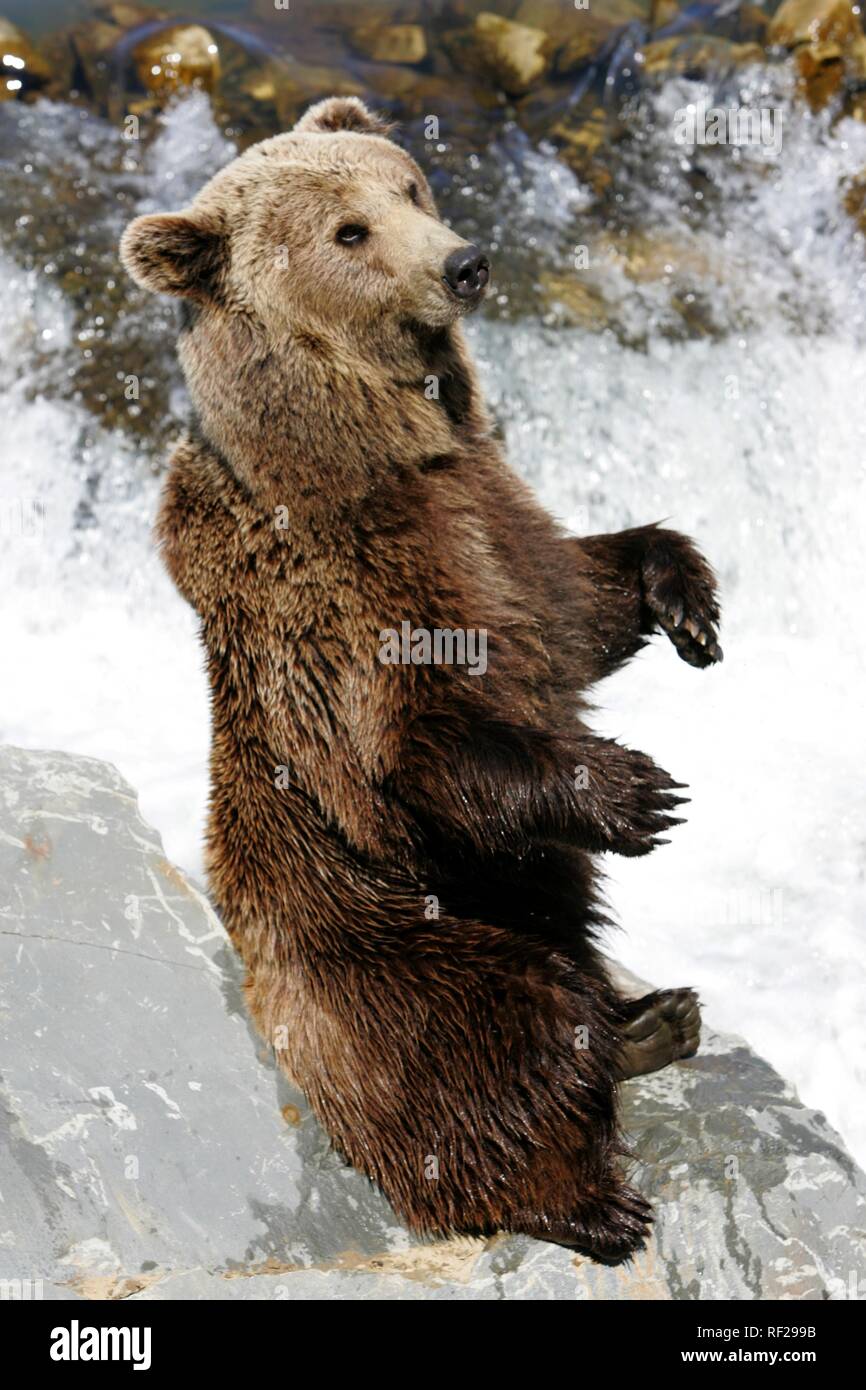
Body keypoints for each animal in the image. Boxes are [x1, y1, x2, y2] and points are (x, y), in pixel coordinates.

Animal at [120, 95, 721, 1261]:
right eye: (347, 231)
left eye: (407, 184)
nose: (465, 261)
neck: (375, 454)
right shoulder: (354, 603)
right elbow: (424, 750)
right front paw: (638, 790)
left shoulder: (489, 512)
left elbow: (573, 605)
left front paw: (688, 599)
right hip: (386, 956)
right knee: (510, 1036)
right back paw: (600, 1179)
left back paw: (653, 1016)